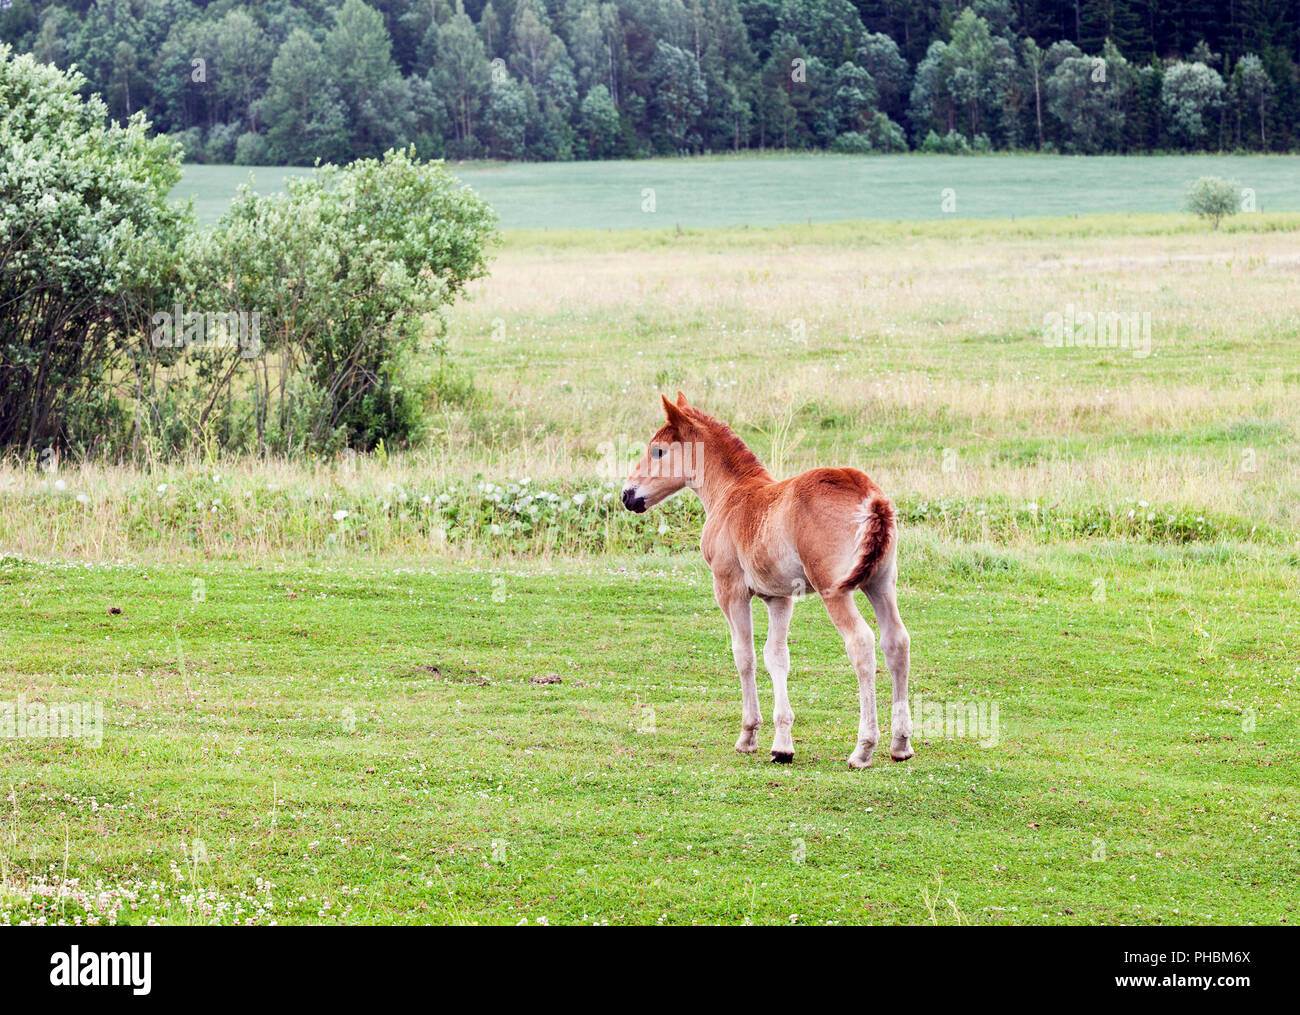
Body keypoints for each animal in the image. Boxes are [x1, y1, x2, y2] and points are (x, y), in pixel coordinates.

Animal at [621, 392, 913, 769]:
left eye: (657, 451)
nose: (627, 495)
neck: (731, 493)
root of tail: (869, 495)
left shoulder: (729, 590)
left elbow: (744, 655)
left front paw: (748, 735)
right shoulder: (779, 598)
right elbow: (776, 656)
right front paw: (782, 745)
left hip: (835, 590)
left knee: (861, 643)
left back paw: (863, 748)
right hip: (880, 583)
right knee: (896, 642)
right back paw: (900, 743)